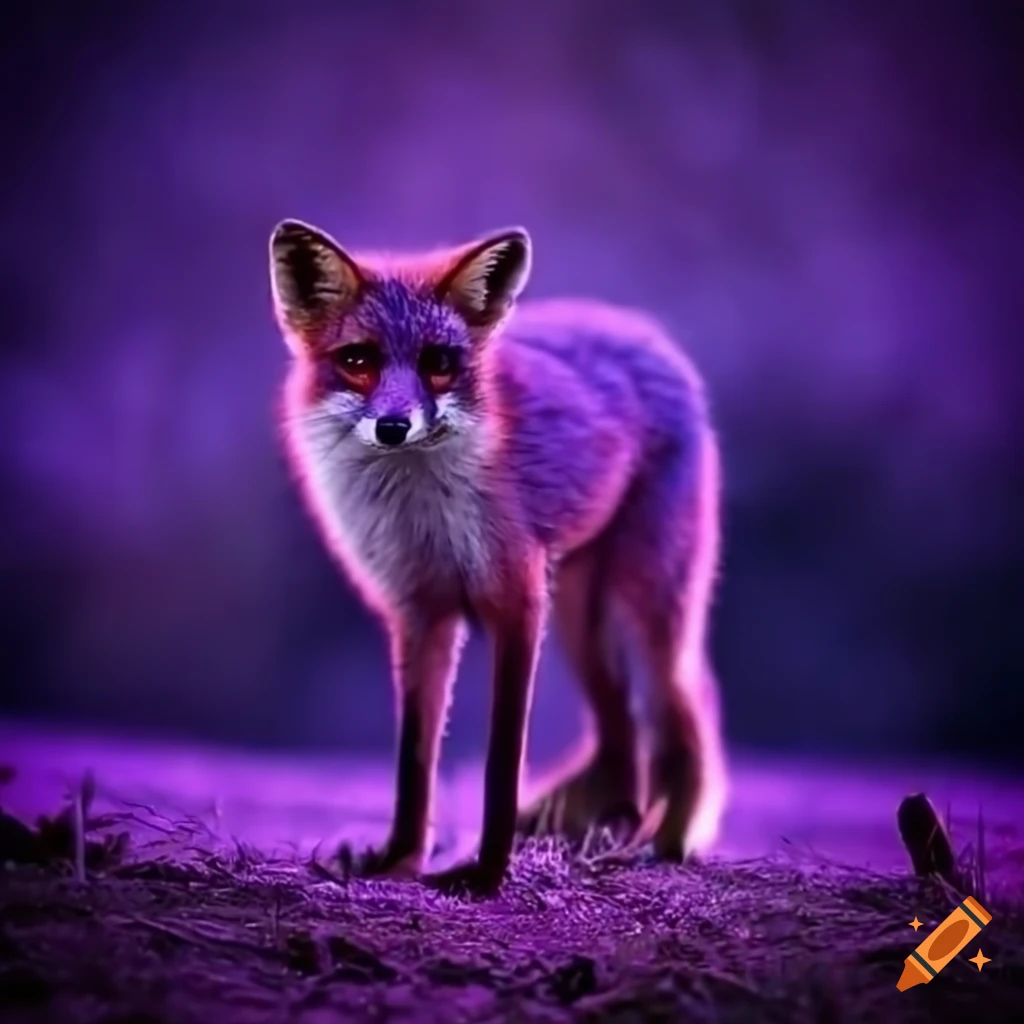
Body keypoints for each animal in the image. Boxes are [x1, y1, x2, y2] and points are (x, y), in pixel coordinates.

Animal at [269, 219, 728, 896]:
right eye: (358, 361)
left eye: (438, 364)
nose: (393, 426)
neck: (423, 517)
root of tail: (641, 329)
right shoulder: (419, 614)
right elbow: (414, 760)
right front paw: (399, 860)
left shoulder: (517, 602)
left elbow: (501, 762)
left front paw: (485, 874)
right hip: (579, 618)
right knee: (620, 735)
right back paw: (610, 828)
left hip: (638, 606)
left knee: (684, 724)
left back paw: (664, 843)